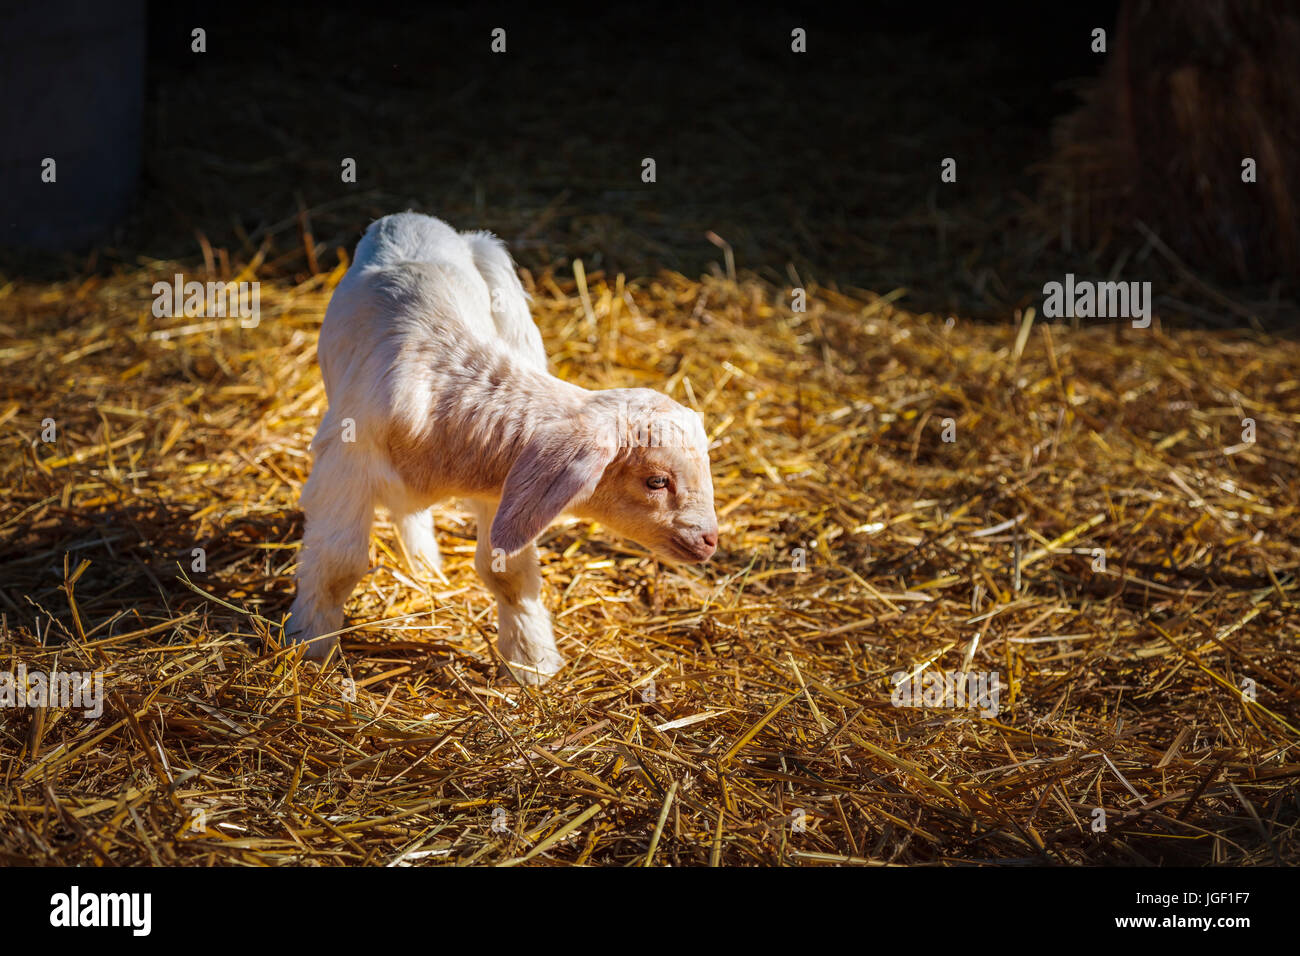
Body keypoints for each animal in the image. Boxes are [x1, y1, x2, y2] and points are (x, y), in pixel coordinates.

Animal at [285, 212, 719, 685]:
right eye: (657, 481)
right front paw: (308, 646)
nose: (710, 540)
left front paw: (531, 662)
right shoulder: (345, 468)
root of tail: (409, 217)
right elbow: (337, 566)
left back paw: (424, 566)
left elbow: (511, 575)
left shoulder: (505, 488)